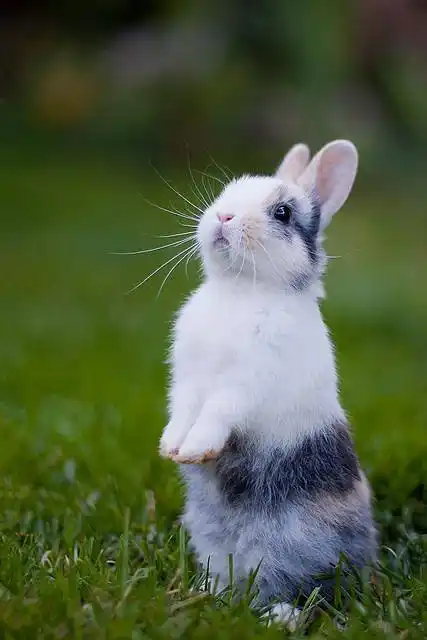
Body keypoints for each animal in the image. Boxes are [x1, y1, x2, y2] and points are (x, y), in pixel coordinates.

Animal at [159, 140, 377, 627]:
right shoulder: (186, 382)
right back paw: (206, 594)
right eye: (228, 191)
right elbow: (182, 412)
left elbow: (215, 413)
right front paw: (172, 449)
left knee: (298, 588)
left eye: (282, 212)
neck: (240, 289)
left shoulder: (242, 388)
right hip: (212, 540)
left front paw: (197, 448)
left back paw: (279, 617)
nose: (223, 217)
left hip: (287, 543)